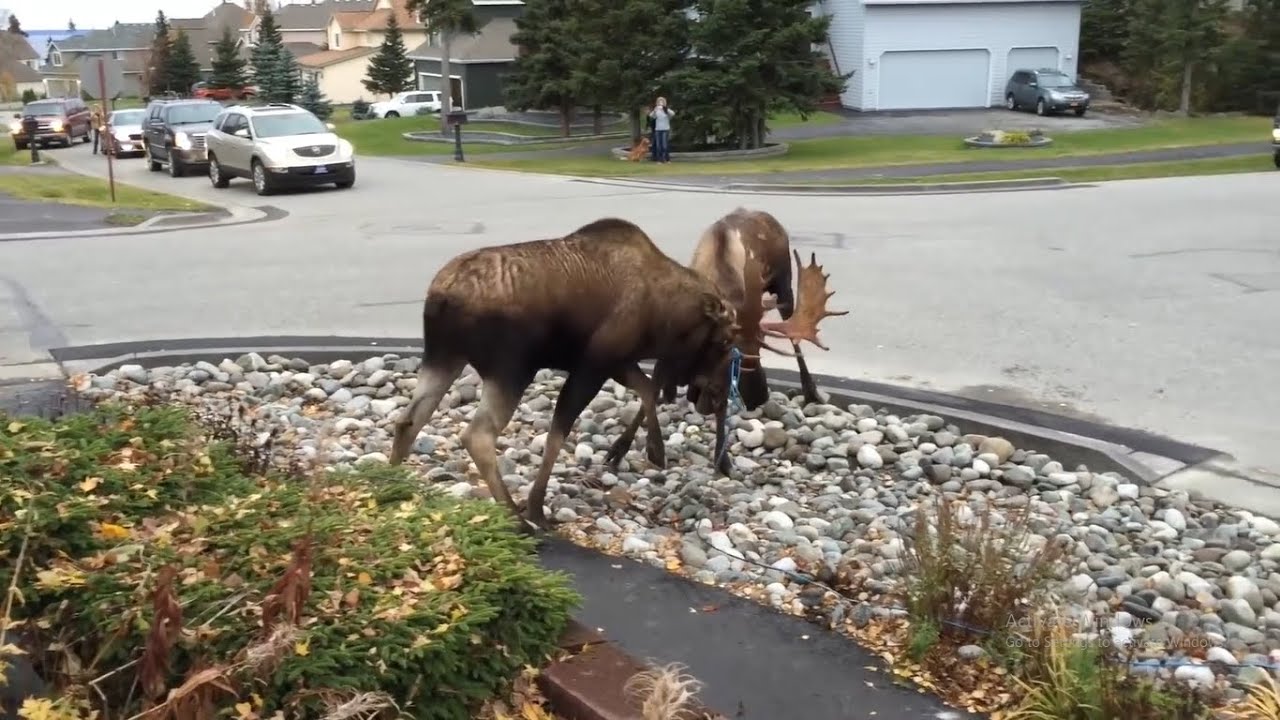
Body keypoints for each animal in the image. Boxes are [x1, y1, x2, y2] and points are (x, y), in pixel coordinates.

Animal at [386, 217, 791, 533]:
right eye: (723, 341)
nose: (718, 397)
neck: (663, 324)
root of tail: (441, 298)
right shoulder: (594, 364)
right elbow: (558, 434)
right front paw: (537, 507)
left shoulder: (618, 362)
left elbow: (647, 389)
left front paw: (651, 450)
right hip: (511, 367)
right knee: (477, 435)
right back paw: (515, 516)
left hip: (443, 356)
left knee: (408, 419)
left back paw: (393, 485)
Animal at [603, 208, 848, 476]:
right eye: (731, 350)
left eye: (761, 346)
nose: (759, 397)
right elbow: (652, 389)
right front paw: (621, 450)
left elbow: (720, 406)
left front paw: (723, 460)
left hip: (784, 284)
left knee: (795, 335)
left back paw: (811, 390)